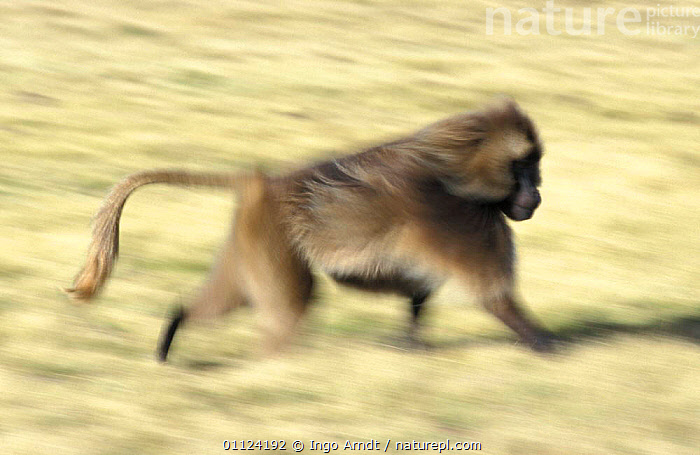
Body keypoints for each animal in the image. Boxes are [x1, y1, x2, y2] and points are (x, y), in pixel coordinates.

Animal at [66, 98, 554, 362]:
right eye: (522, 166)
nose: (535, 195)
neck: (457, 171)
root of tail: (264, 183)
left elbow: (417, 294)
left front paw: (411, 344)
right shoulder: (463, 221)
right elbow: (492, 295)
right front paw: (545, 344)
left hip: (250, 235)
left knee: (231, 296)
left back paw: (174, 331)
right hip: (272, 237)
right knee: (289, 307)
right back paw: (269, 366)